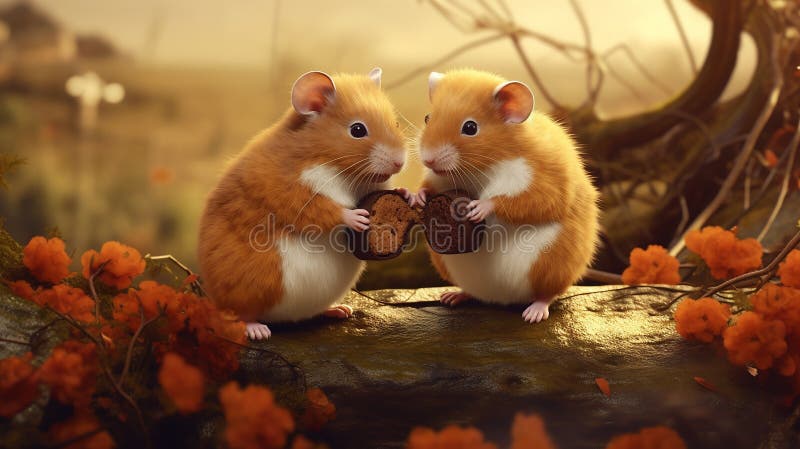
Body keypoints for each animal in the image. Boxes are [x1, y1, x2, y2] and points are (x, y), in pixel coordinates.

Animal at [198, 68, 407, 340]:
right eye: (358, 130)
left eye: (396, 123)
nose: (399, 162)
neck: (336, 166)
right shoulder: (294, 193)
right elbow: (324, 209)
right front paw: (358, 218)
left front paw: (406, 192)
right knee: (239, 315)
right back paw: (258, 331)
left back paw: (341, 310)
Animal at [409, 68, 599, 323]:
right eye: (427, 118)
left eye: (470, 128)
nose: (428, 159)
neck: (482, 166)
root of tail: (501, 298)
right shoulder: (438, 179)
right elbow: (427, 186)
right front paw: (417, 198)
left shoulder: (545, 185)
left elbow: (519, 200)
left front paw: (478, 208)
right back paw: (452, 297)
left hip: (553, 265)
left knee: (548, 294)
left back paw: (533, 314)